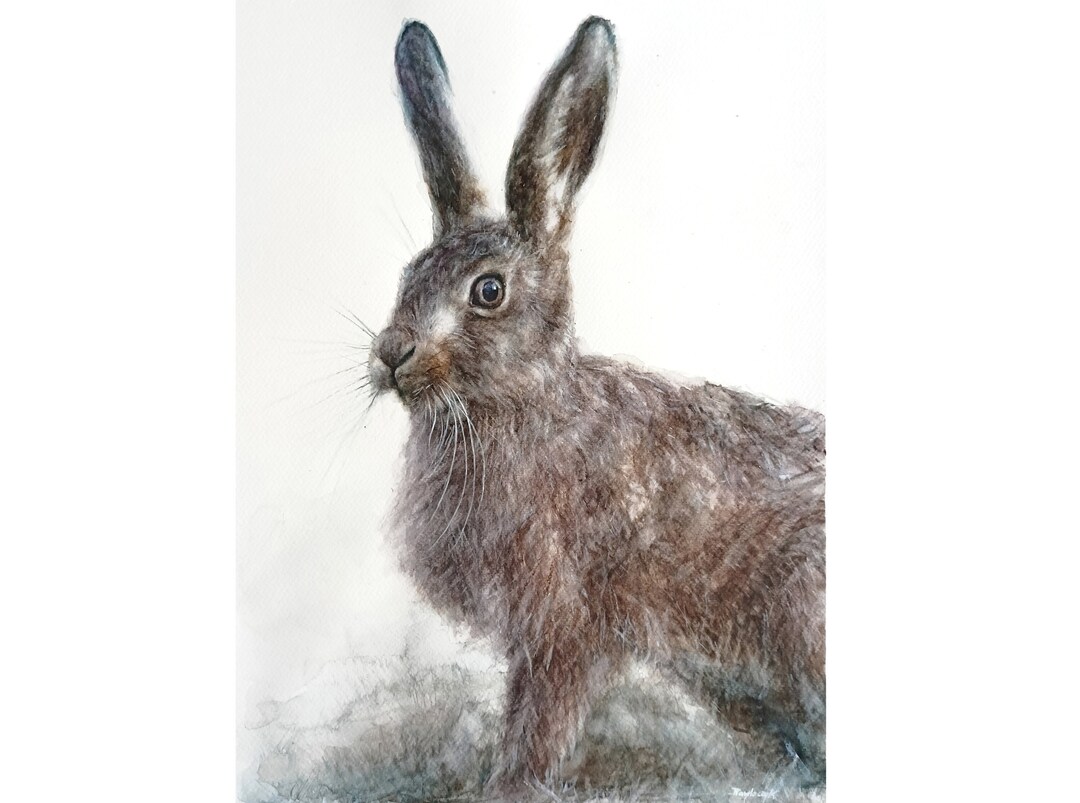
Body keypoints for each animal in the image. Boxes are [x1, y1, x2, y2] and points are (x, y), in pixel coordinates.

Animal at [367, 16, 825, 795]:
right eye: (408, 277)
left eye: (488, 291)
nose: (391, 353)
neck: (518, 404)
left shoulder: (565, 625)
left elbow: (539, 727)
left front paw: (507, 787)